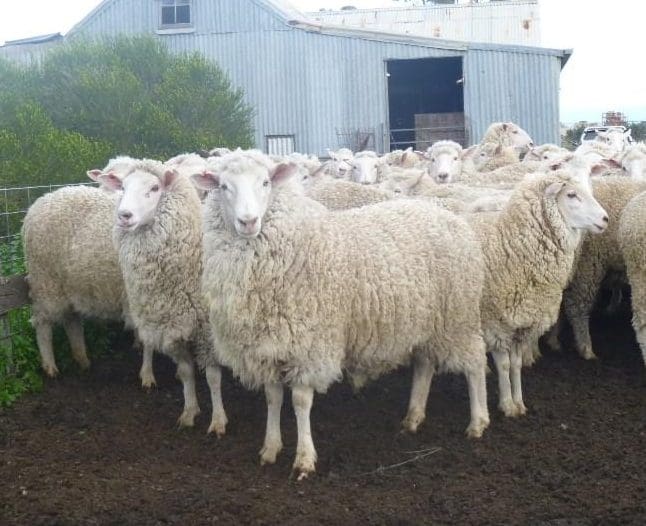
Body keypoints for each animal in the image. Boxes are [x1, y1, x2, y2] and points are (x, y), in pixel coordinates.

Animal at [98, 160, 227, 435]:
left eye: (154, 188)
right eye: (123, 187)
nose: (124, 215)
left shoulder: (207, 331)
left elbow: (213, 377)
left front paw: (218, 420)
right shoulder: (173, 326)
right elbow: (187, 372)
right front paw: (189, 412)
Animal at [194, 149, 489, 479]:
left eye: (266, 182)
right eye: (223, 186)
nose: (248, 222)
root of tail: (451, 218)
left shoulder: (309, 346)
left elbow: (300, 401)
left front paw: (304, 459)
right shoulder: (268, 347)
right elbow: (273, 397)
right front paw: (270, 448)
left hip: (458, 316)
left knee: (475, 363)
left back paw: (478, 422)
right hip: (427, 320)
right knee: (425, 365)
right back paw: (413, 417)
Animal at [467, 171, 608, 416]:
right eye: (571, 194)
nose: (605, 219)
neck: (509, 245)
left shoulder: (523, 323)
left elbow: (515, 365)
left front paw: (519, 402)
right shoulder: (497, 323)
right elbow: (504, 365)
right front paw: (507, 405)